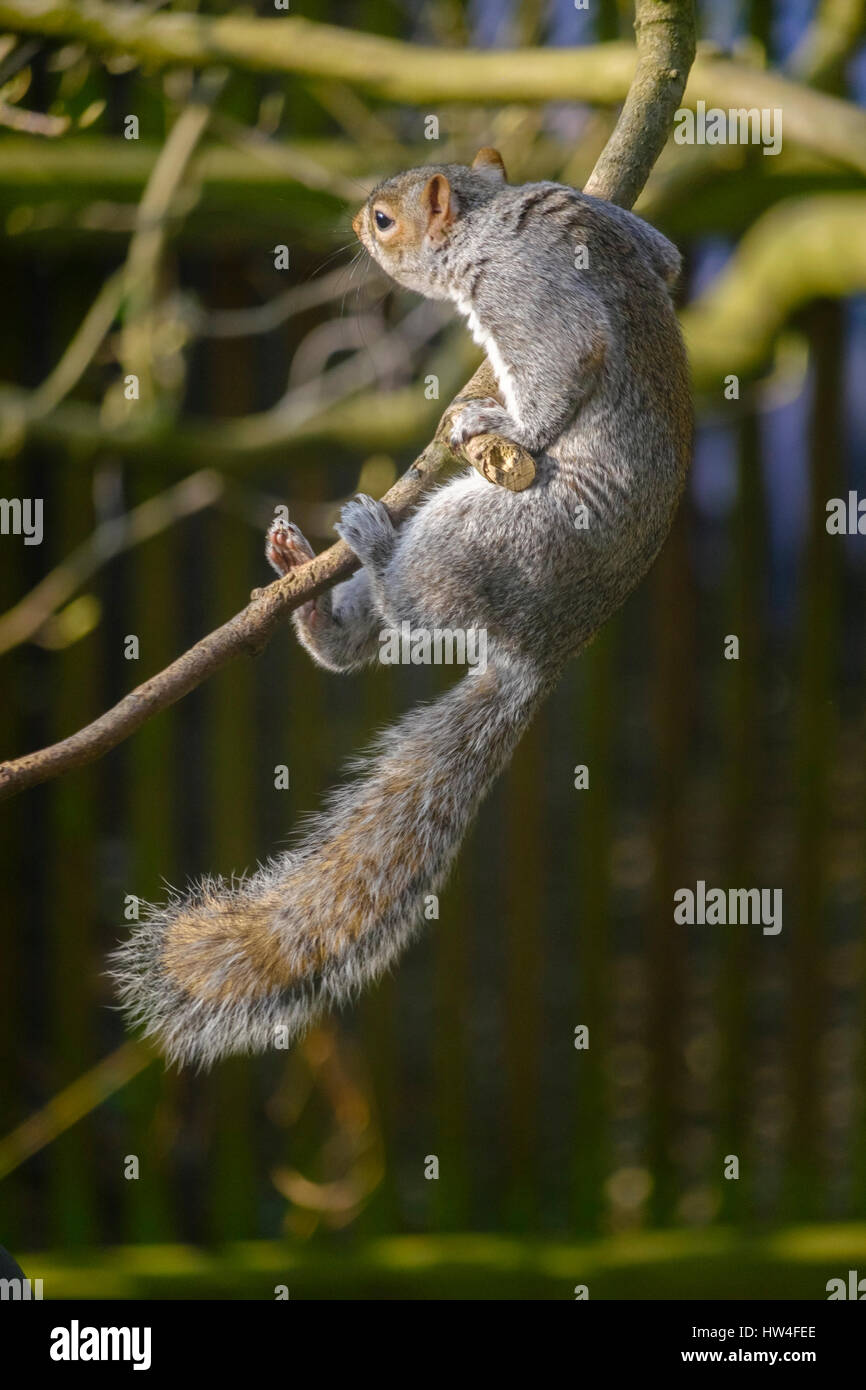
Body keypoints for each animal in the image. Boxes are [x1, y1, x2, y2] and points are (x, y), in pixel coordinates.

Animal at [112, 148, 692, 1068]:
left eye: (386, 221)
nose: (354, 224)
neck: (490, 217)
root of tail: (545, 647)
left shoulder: (532, 294)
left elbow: (561, 372)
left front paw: (497, 418)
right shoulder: (630, 236)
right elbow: (666, 257)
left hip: (478, 532)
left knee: (419, 603)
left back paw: (378, 550)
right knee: (373, 638)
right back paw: (314, 601)